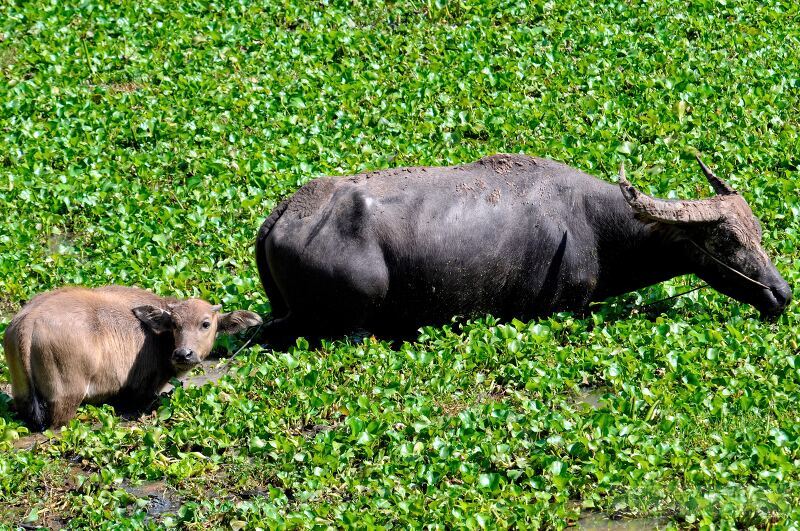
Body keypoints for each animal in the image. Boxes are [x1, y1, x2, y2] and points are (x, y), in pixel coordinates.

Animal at [256, 154, 790, 340]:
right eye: (726, 239)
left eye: (760, 232)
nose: (781, 293)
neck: (594, 225)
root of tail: (280, 216)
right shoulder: (563, 310)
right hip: (352, 324)